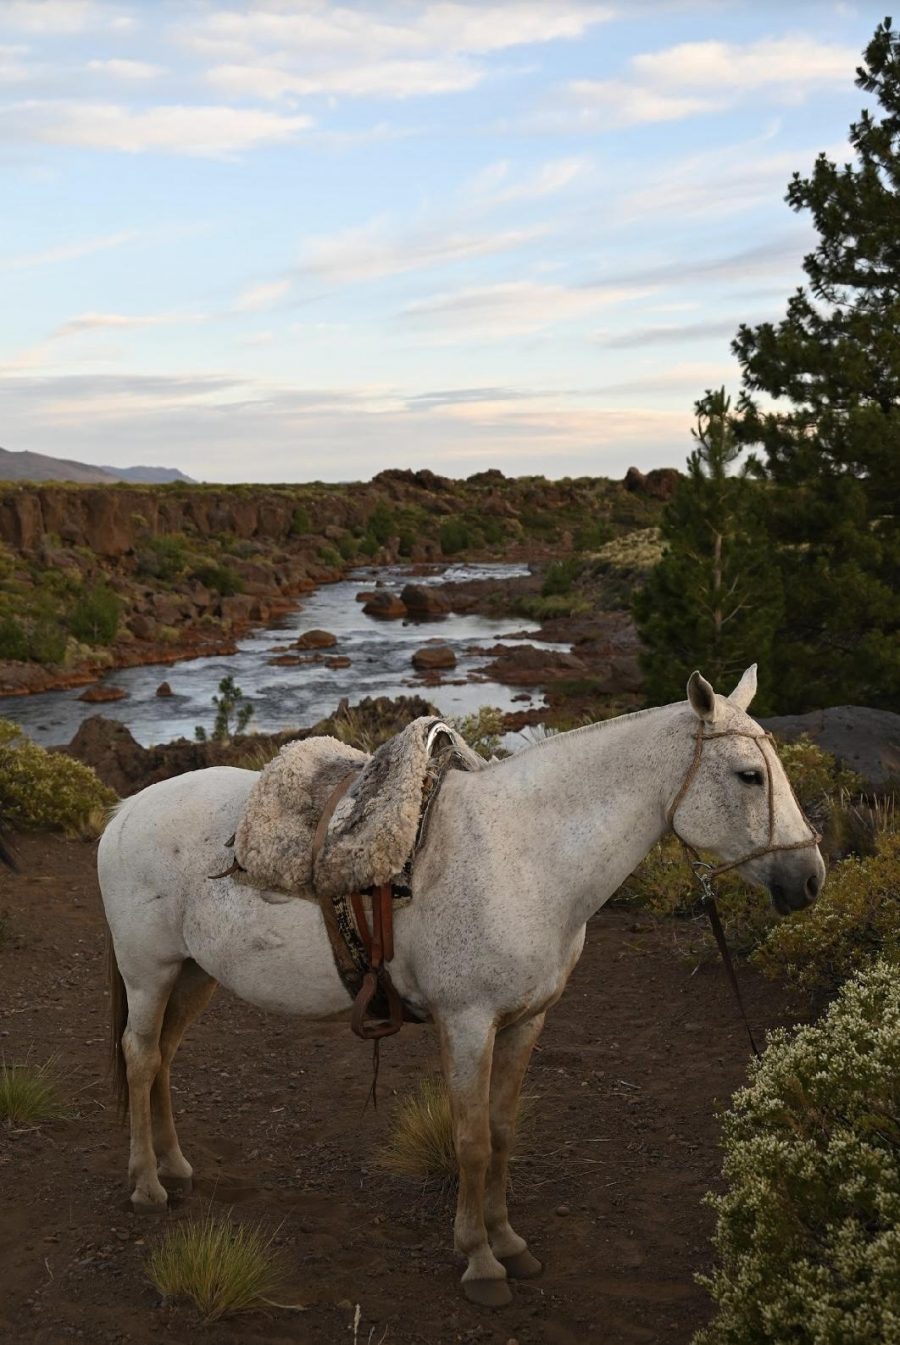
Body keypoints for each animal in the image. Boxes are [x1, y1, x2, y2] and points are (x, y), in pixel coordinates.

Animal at [99, 666, 825, 1307]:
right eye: (749, 774)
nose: (809, 879)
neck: (526, 855)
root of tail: (126, 810)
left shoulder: (525, 1020)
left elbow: (502, 1130)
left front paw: (509, 1242)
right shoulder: (468, 1022)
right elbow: (471, 1139)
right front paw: (478, 1260)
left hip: (194, 974)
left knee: (164, 1058)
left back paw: (176, 1169)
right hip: (149, 971)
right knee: (140, 1057)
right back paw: (146, 1185)